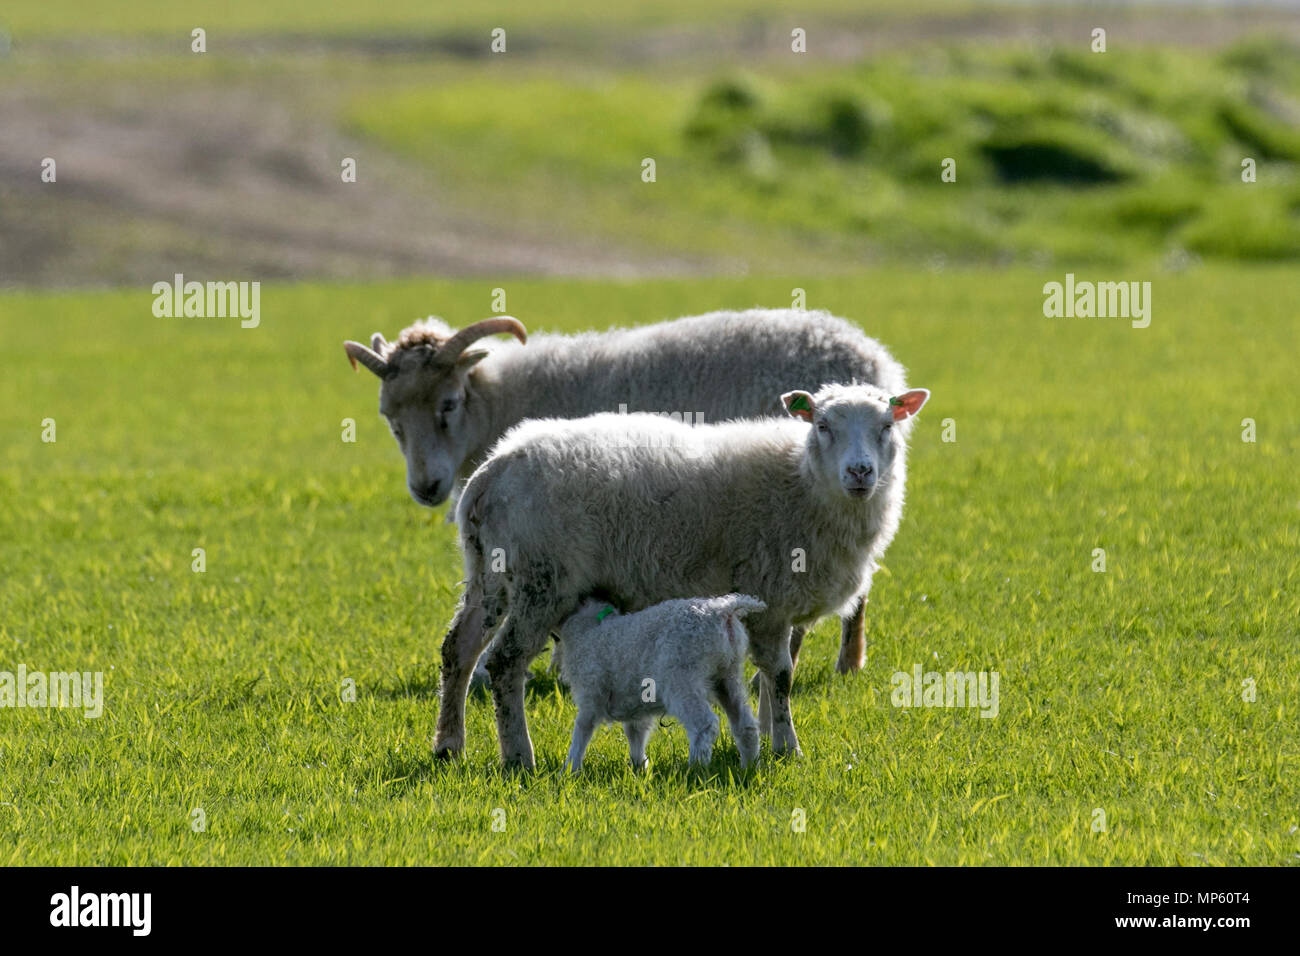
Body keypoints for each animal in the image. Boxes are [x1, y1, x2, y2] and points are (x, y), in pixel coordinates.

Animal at [344, 309, 910, 678]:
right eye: (390, 418)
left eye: (449, 403)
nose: (426, 487)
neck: (501, 400)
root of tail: (875, 356)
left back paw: (845, 662)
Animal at [557, 594, 765, 772]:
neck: (588, 629)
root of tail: (722, 609)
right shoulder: (634, 701)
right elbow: (635, 732)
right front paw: (639, 768)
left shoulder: (591, 690)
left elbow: (583, 729)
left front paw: (569, 770)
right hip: (727, 675)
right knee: (745, 723)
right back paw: (749, 767)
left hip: (682, 676)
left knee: (704, 725)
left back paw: (695, 769)